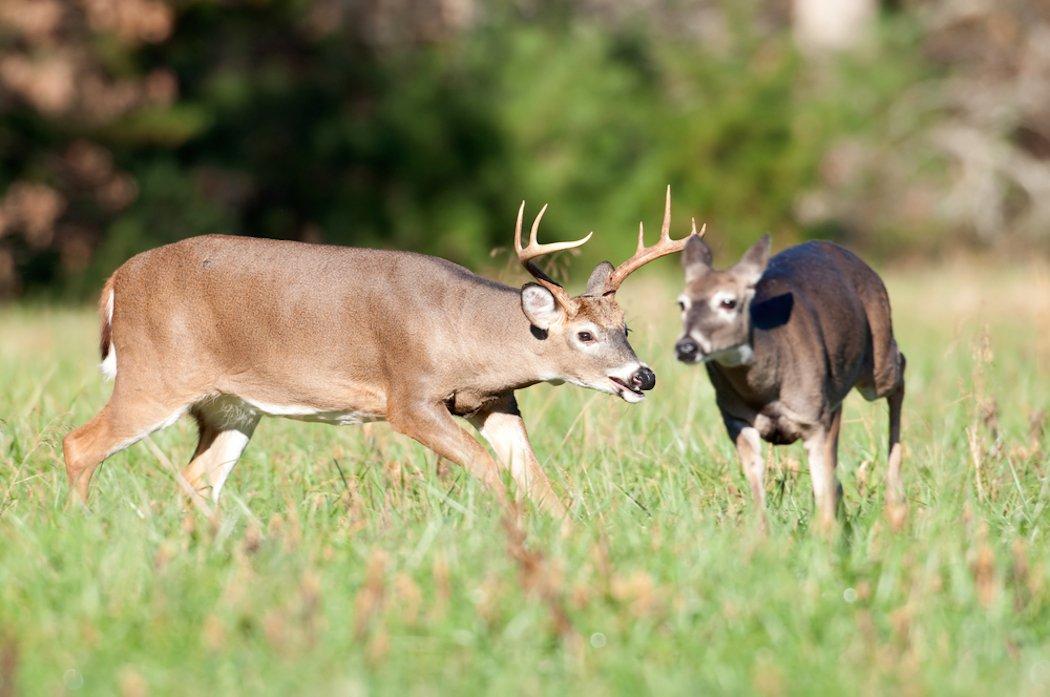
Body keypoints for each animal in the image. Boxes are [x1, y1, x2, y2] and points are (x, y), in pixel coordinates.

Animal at [61, 187, 692, 514]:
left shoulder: (496, 401)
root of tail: (115, 282)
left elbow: (532, 474)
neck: (466, 333)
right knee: (79, 444)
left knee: (194, 480)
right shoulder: (407, 397)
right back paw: (82, 524)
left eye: (625, 326)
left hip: (231, 406)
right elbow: (486, 466)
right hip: (157, 372)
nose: (643, 376)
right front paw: (511, 531)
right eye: (584, 335)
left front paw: (568, 535)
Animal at [676, 234, 907, 529]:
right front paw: (761, 534)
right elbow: (757, 486)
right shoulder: (736, 419)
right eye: (682, 303)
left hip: (876, 365)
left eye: (728, 302)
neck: (766, 390)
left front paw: (826, 534)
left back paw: (895, 502)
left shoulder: (815, 419)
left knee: (901, 369)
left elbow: (821, 487)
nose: (686, 347)